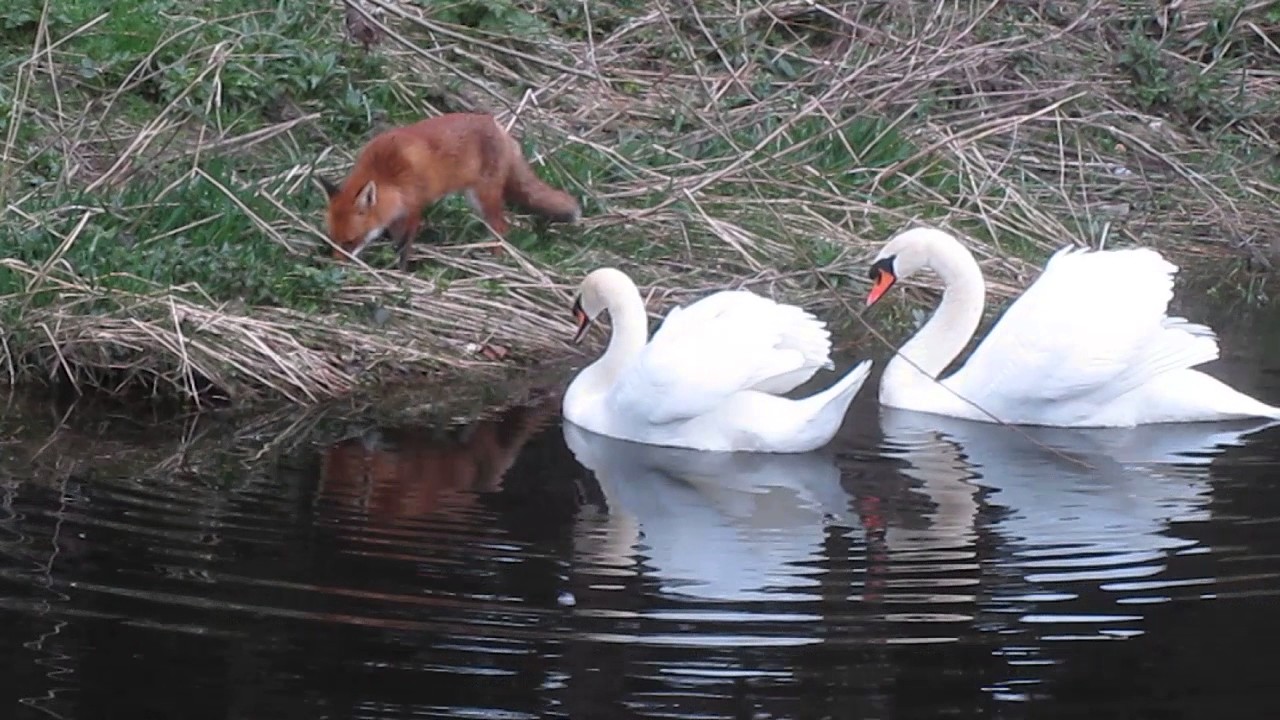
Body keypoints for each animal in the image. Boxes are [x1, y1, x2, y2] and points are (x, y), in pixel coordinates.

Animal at [318, 113, 582, 270]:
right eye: (333, 239)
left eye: (350, 242)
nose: (334, 266)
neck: (387, 174)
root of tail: (500, 128)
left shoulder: (414, 208)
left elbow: (404, 246)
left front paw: (401, 271)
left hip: (483, 197)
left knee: (502, 226)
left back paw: (495, 257)